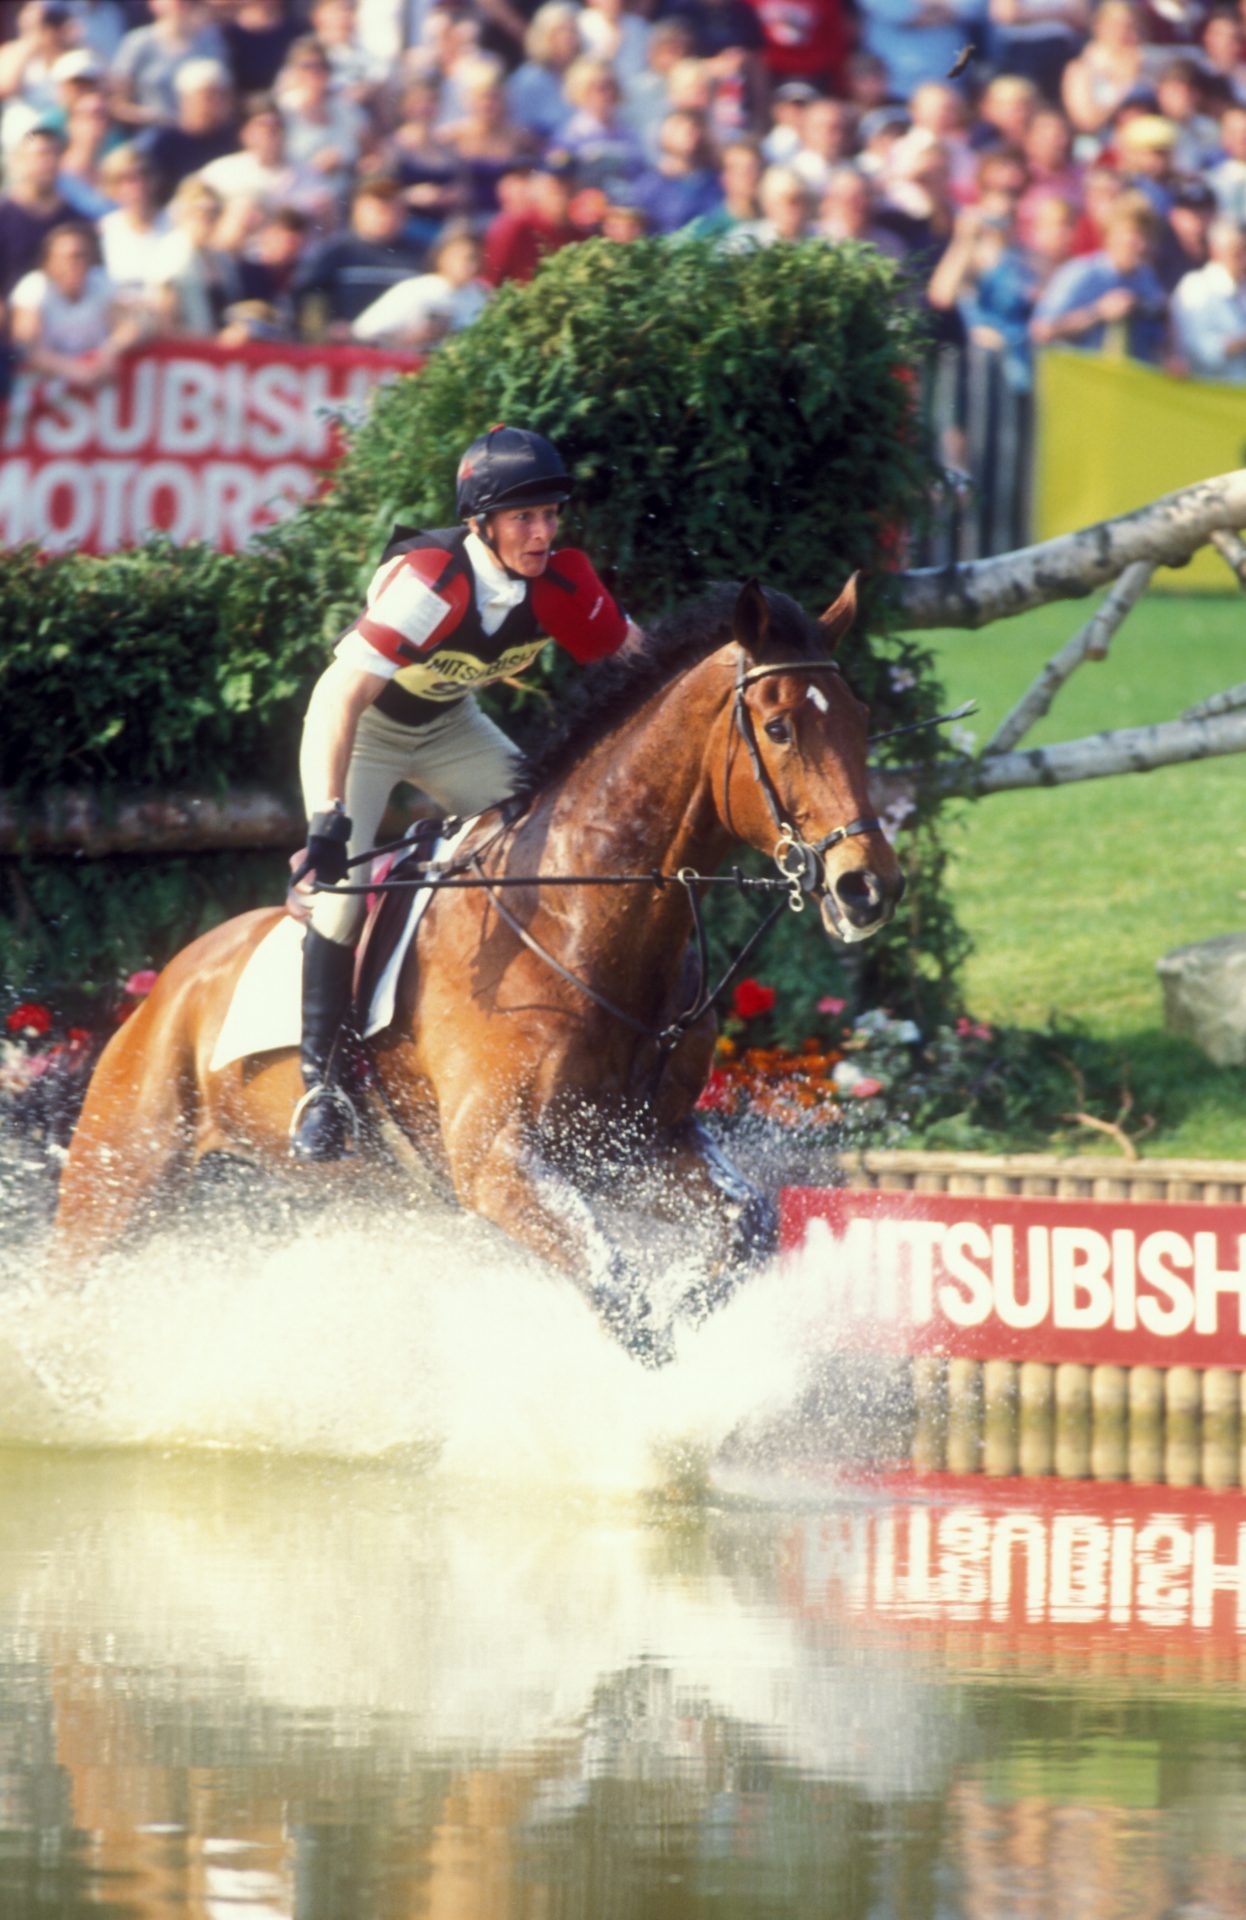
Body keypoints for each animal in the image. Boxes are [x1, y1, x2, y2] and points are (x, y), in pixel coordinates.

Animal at [52, 575, 905, 1361]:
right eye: (780, 727)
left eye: (863, 719)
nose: (868, 887)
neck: (578, 917)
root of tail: (169, 984)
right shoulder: (498, 1164)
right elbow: (620, 1295)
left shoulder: (635, 1146)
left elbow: (745, 1224)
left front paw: (693, 1314)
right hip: (116, 1184)